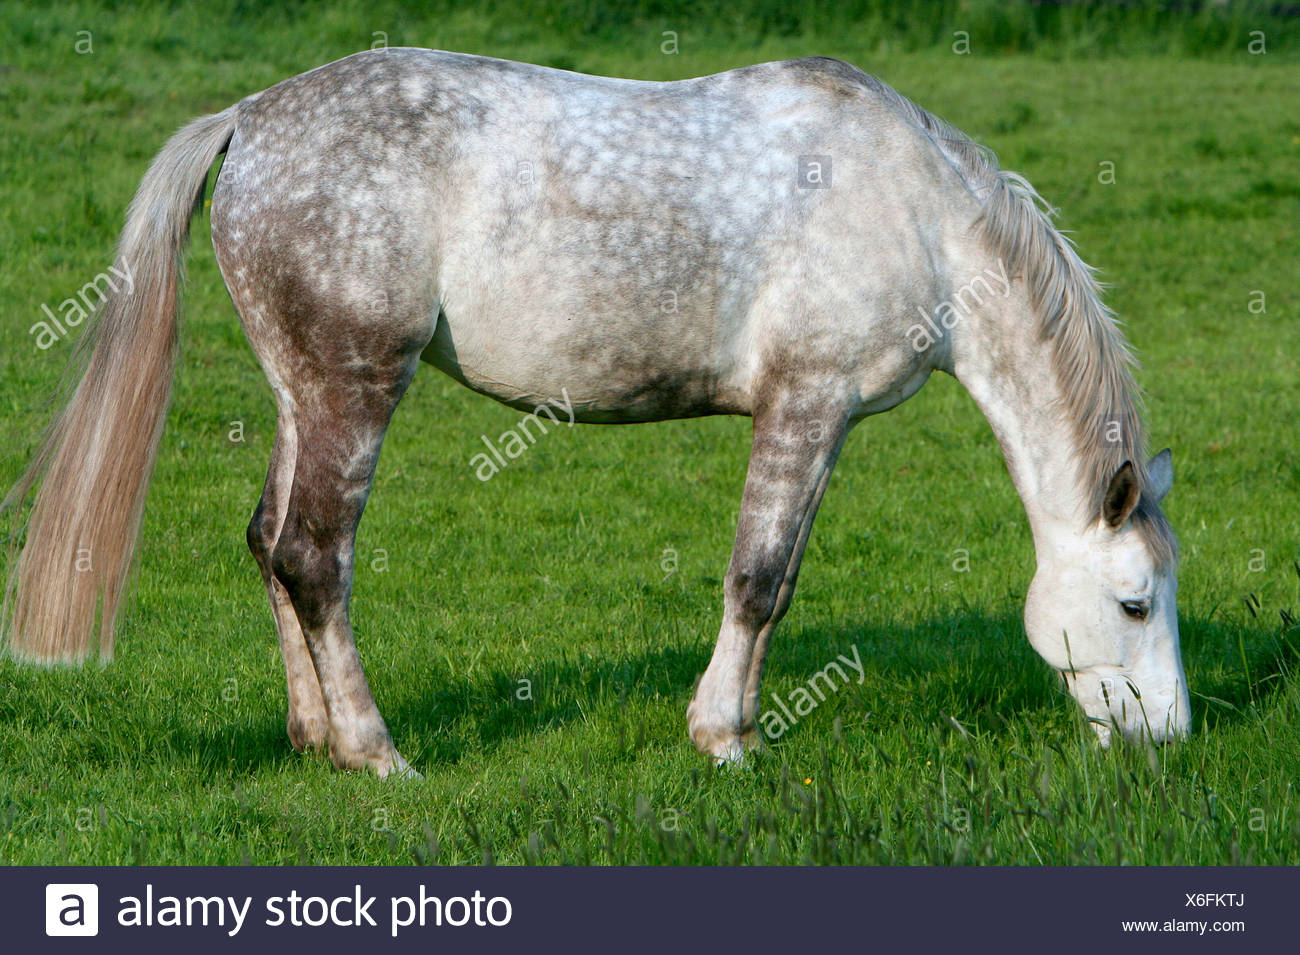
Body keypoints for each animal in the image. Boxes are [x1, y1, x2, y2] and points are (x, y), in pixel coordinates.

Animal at [3, 49, 1189, 778]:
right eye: (1133, 603)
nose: (1169, 740)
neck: (918, 212)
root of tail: (246, 121)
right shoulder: (807, 403)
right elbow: (759, 579)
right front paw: (724, 738)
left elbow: (773, 584)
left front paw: (736, 726)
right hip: (353, 391)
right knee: (313, 557)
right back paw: (376, 751)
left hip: (300, 399)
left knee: (266, 543)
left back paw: (313, 736)